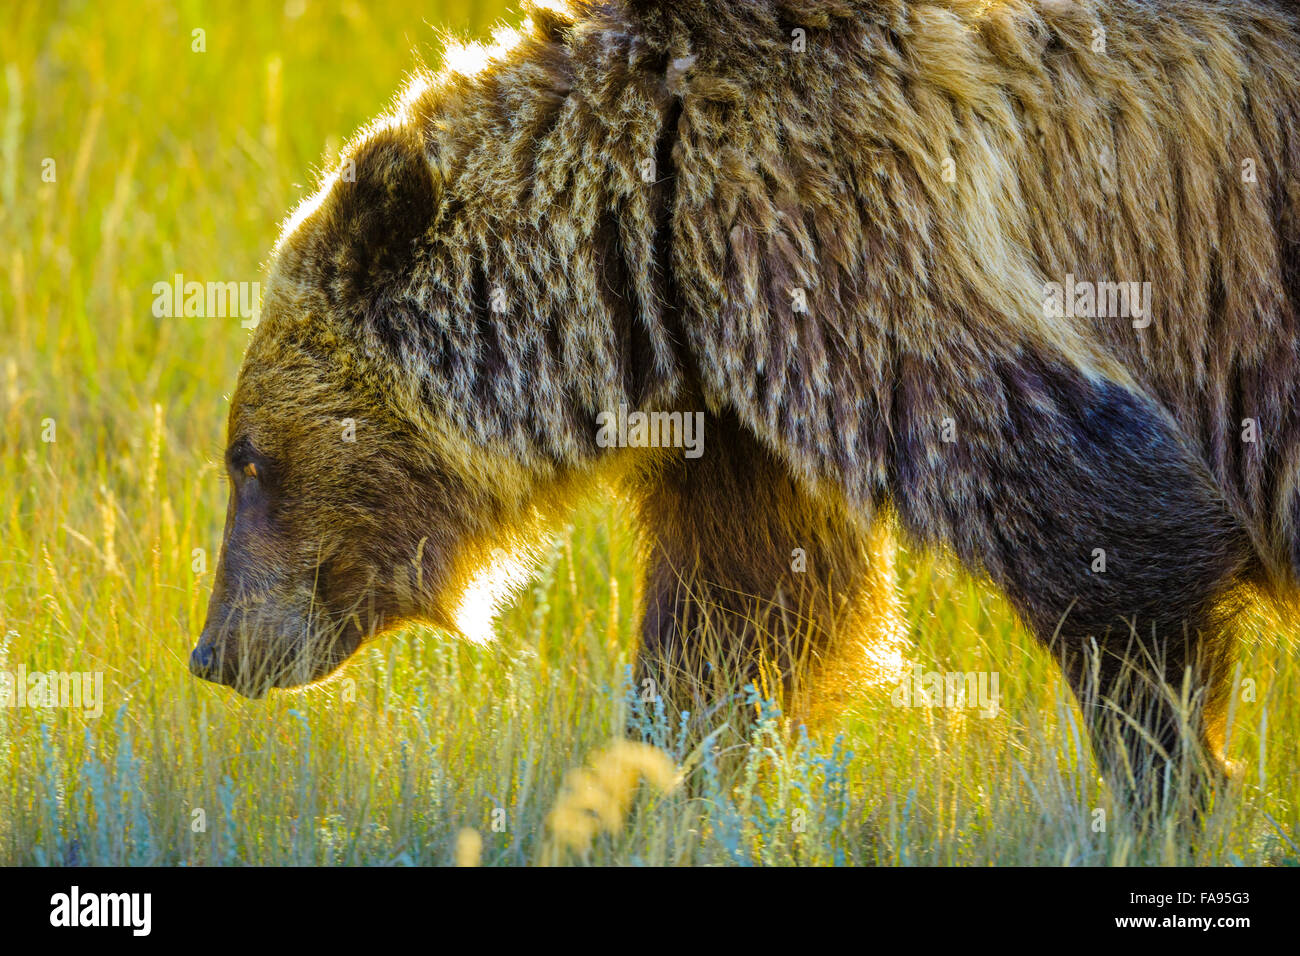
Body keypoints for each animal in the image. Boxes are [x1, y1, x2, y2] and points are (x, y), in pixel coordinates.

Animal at [189, 0, 1300, 818]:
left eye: (250, 458)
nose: (214, 651)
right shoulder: (740, 410)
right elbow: (747, 607)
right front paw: (661, 790)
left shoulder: (856, 233)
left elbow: (1104, 526)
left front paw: (1176, 789)